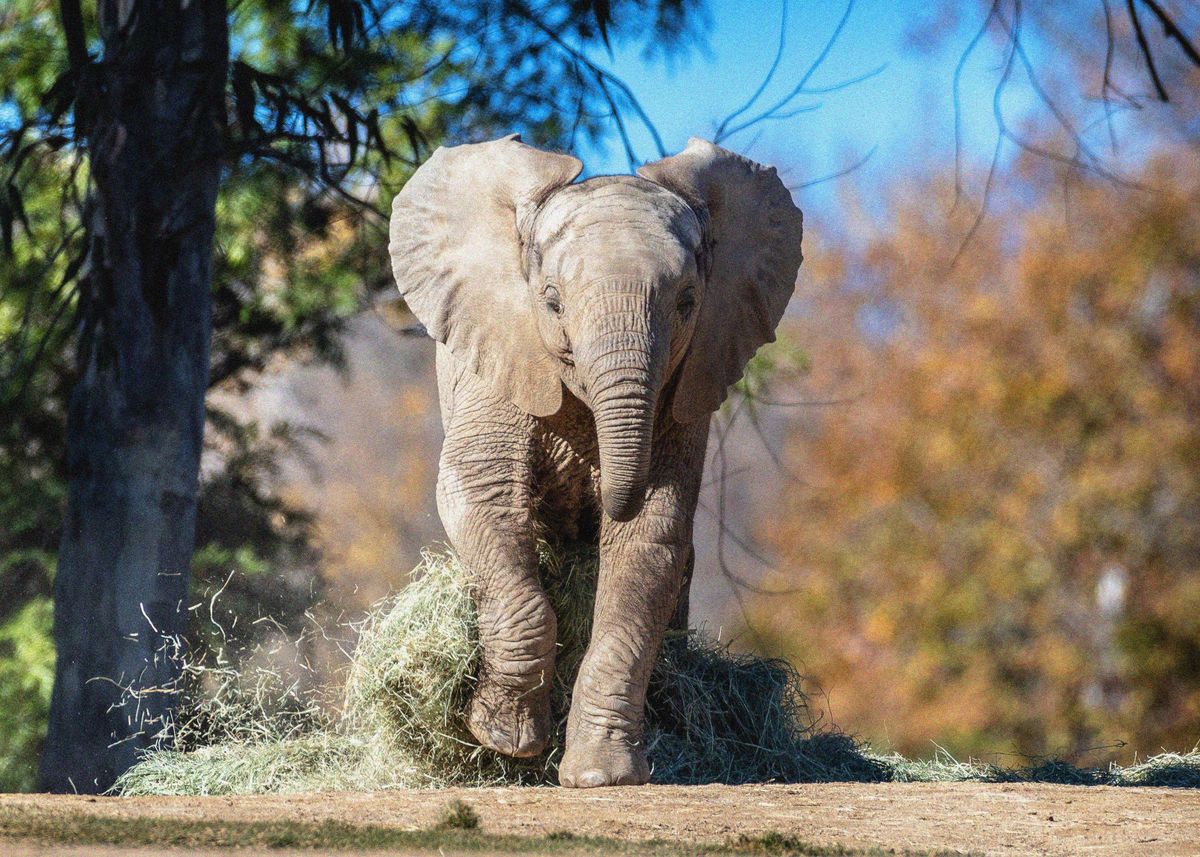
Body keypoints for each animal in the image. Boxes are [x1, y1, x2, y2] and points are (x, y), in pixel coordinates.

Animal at [388, 134, 803, 787]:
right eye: (552, 302)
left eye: (688, 302)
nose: (601, 490)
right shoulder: (501, 358)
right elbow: (483, 498)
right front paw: (503, 741)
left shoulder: (682, 392)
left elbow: (649, 539)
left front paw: (601, 777)